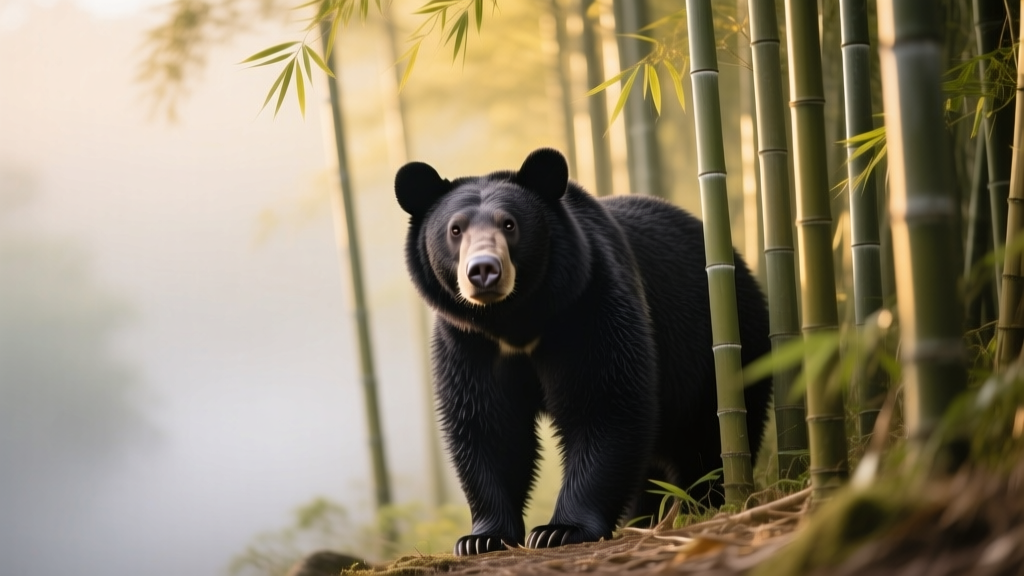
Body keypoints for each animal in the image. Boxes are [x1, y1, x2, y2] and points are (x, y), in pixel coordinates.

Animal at [394, 148, 772, 556]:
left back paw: (700, 505)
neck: (514, 321)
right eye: (455, 229)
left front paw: (559, 530)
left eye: (509, 225)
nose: (483, 271)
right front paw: (482, 538)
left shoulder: (588, 306)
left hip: (721, 347)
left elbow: (603, 402)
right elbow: (488, 424)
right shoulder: (468, 343)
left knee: (708, 438)